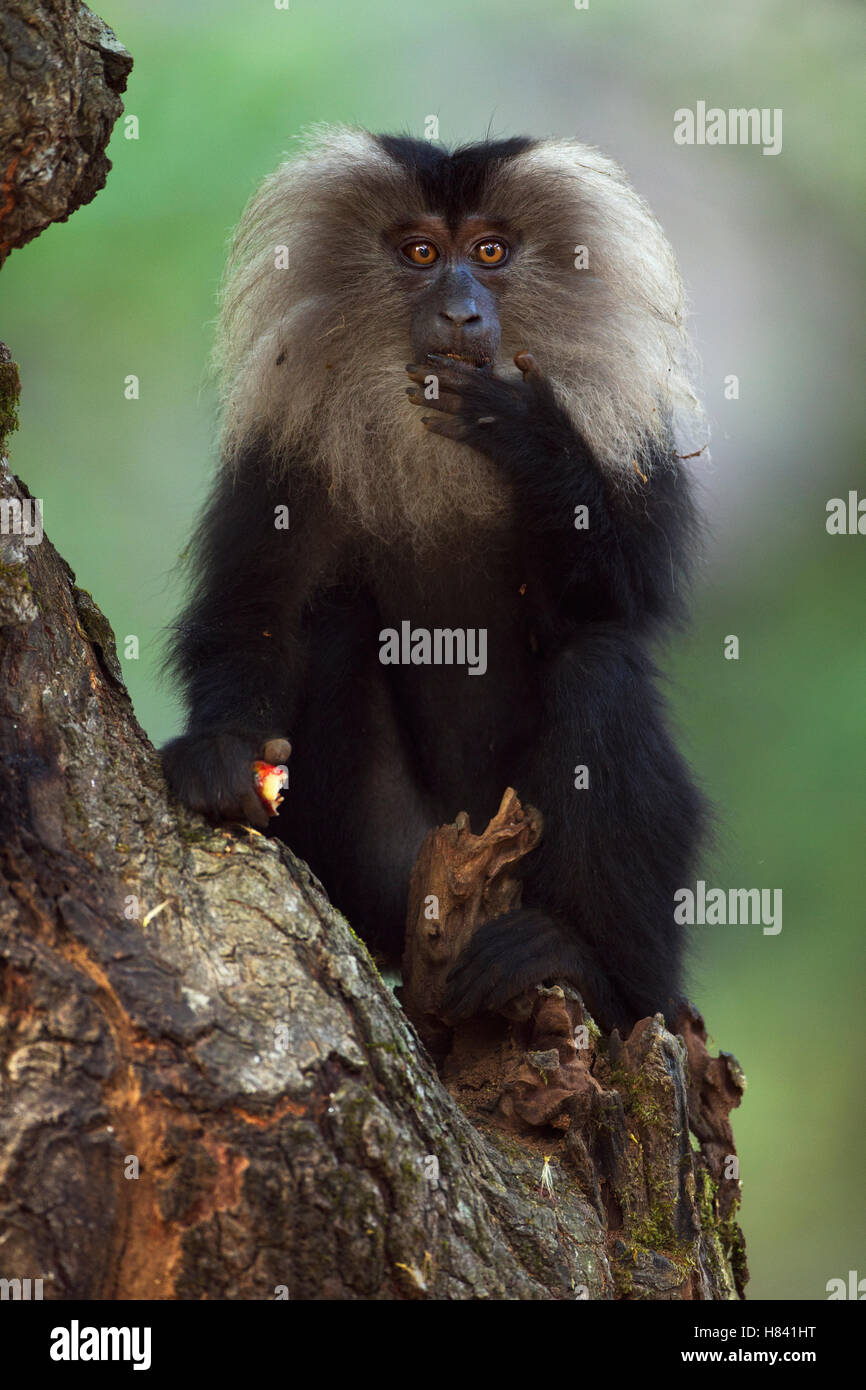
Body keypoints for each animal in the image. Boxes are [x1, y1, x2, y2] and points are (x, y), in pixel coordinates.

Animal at [161, 126, 708, 1034]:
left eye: (488, 252)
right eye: (421, 253)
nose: (459, 312)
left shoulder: (629, 426)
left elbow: (626, 599)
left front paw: (526, 432)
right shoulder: (287, 438)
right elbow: (256, 610)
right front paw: (220, 752)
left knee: (598, 664)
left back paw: (595, 973)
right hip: (396, 865)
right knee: (335, 623)